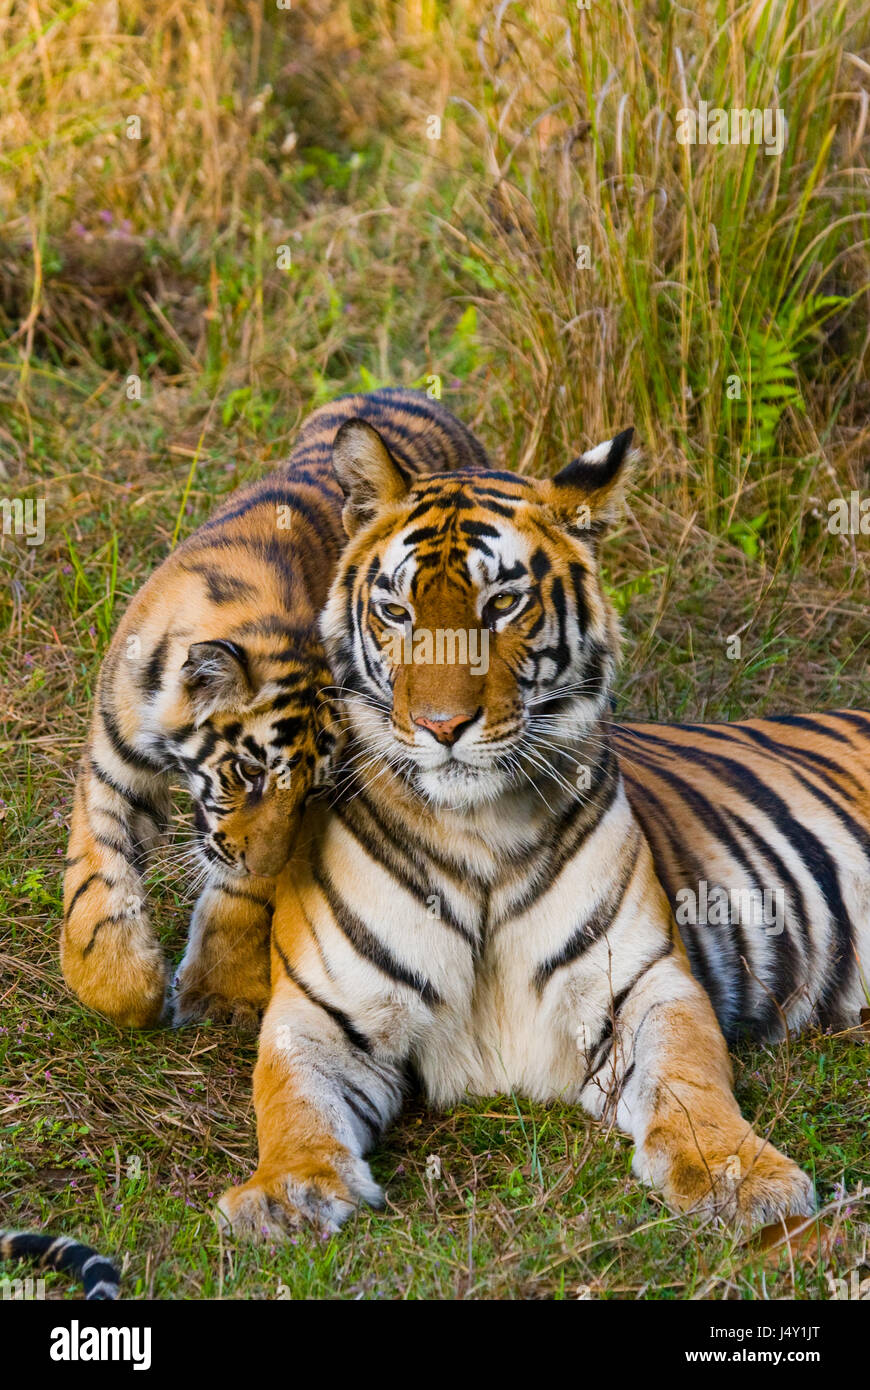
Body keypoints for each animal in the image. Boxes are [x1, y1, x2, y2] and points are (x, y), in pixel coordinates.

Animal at [61, 387, 488, 1030]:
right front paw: (119, 987)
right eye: (248, 772)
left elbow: (242, 897)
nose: (260, 864)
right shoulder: (113, 761)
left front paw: (219, 993)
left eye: (313, 791)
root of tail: (409, 390)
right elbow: (96, 868)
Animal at [215, 413, 869, 1239]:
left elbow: (691, 1083)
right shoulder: (322, 1013)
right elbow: (290, 1104)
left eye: (500, 605)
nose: (441, 727)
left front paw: (741, 1177)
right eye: (396, 613)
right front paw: (286, 1192)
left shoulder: (646, 984)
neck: (477, 833)